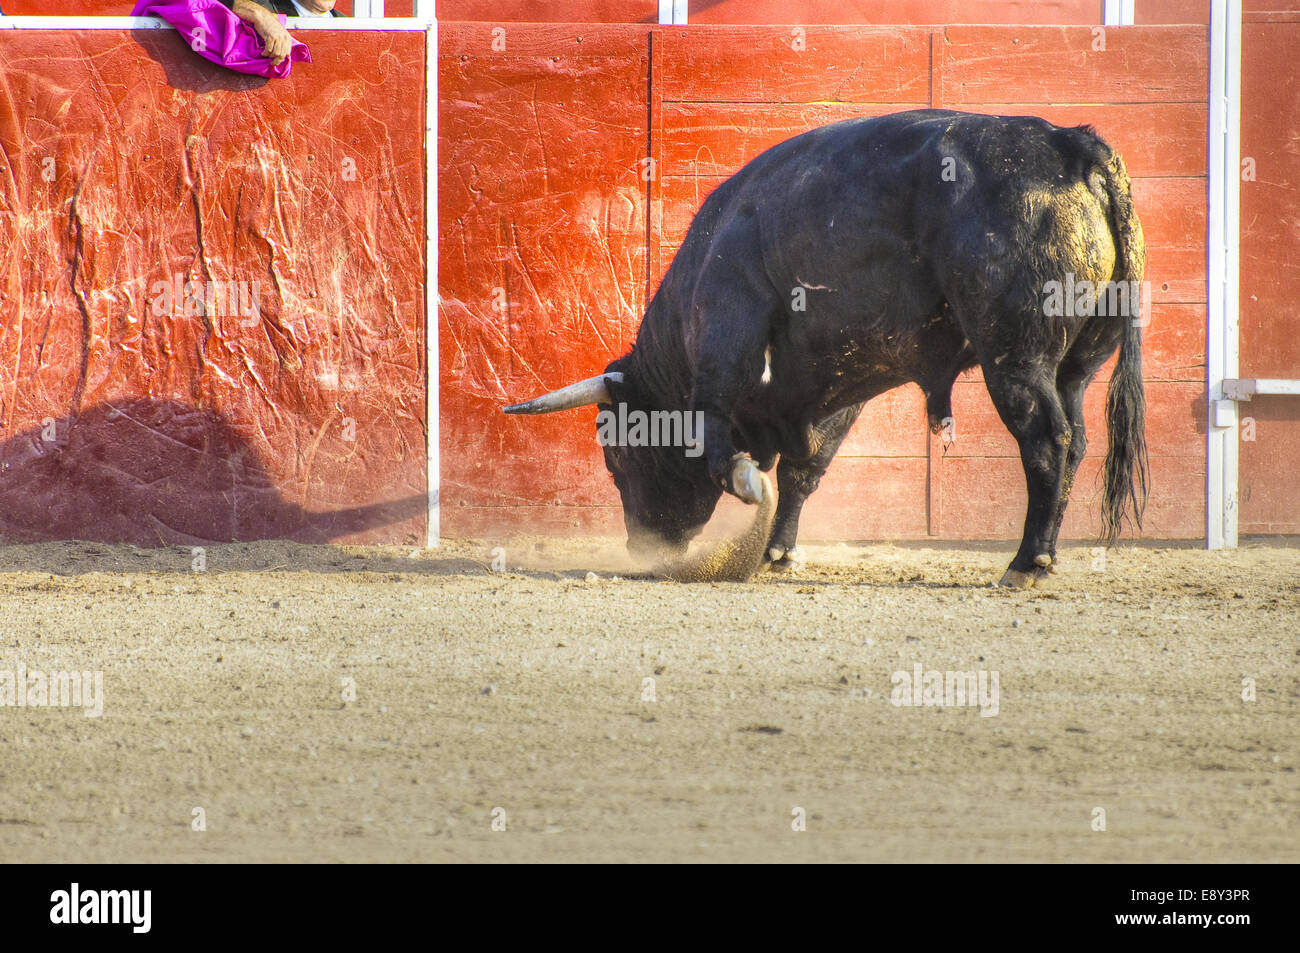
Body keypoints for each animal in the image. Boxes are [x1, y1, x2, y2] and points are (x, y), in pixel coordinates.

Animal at [504, 109, 1147, 587]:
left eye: (616, 456)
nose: (642, 547)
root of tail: (1073, 146)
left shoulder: (727, 325)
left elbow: (714, 420)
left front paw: (744, 482)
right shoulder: (840, 380)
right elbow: (804, 470)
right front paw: (777, 552)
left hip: (1015, 356)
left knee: (1046, 439)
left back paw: (1025, 563)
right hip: (1077, 365)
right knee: (1078, 437)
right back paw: (1046, 555)